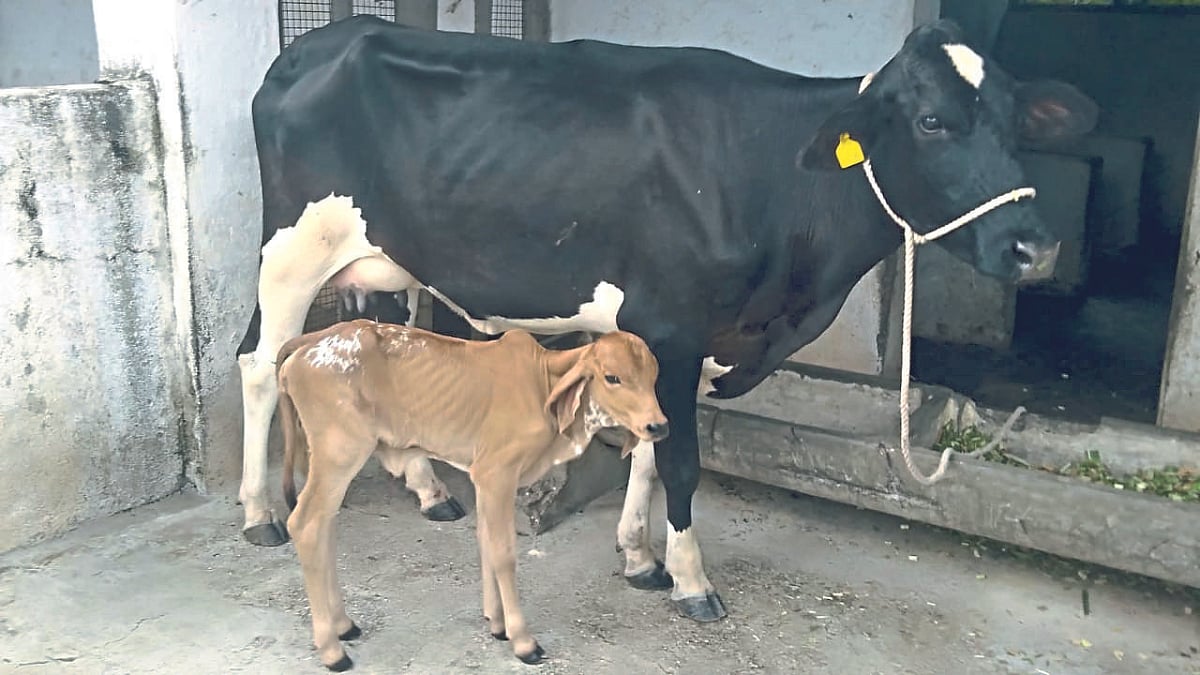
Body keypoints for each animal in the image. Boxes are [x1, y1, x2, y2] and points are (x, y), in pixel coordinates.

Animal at [235, 15, 1098, 624]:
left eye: (1015, 122)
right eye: (930, 122)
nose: (1036, 246)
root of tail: (311, 44)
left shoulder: (683, 340)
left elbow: (649, 447)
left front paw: (639, 557)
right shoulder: (675, 323)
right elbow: (679, 459)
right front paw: (692, 579)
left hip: (386, 260)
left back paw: (424, 488)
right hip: (291, 247)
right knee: (259, 364)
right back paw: (259, 513)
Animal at [276, 318, 666, 669]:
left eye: (653, 377)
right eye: (612, 377)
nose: (658, 426)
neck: (543, 384)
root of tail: (310, 342)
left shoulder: (484, 479)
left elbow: (486, 543)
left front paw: (497, 624)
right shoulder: (497, 473)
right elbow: (504, 553)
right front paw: (522, 640)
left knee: (325, 527)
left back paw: (343, 625)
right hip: (340, 453)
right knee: (306, 525)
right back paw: (332, 650)